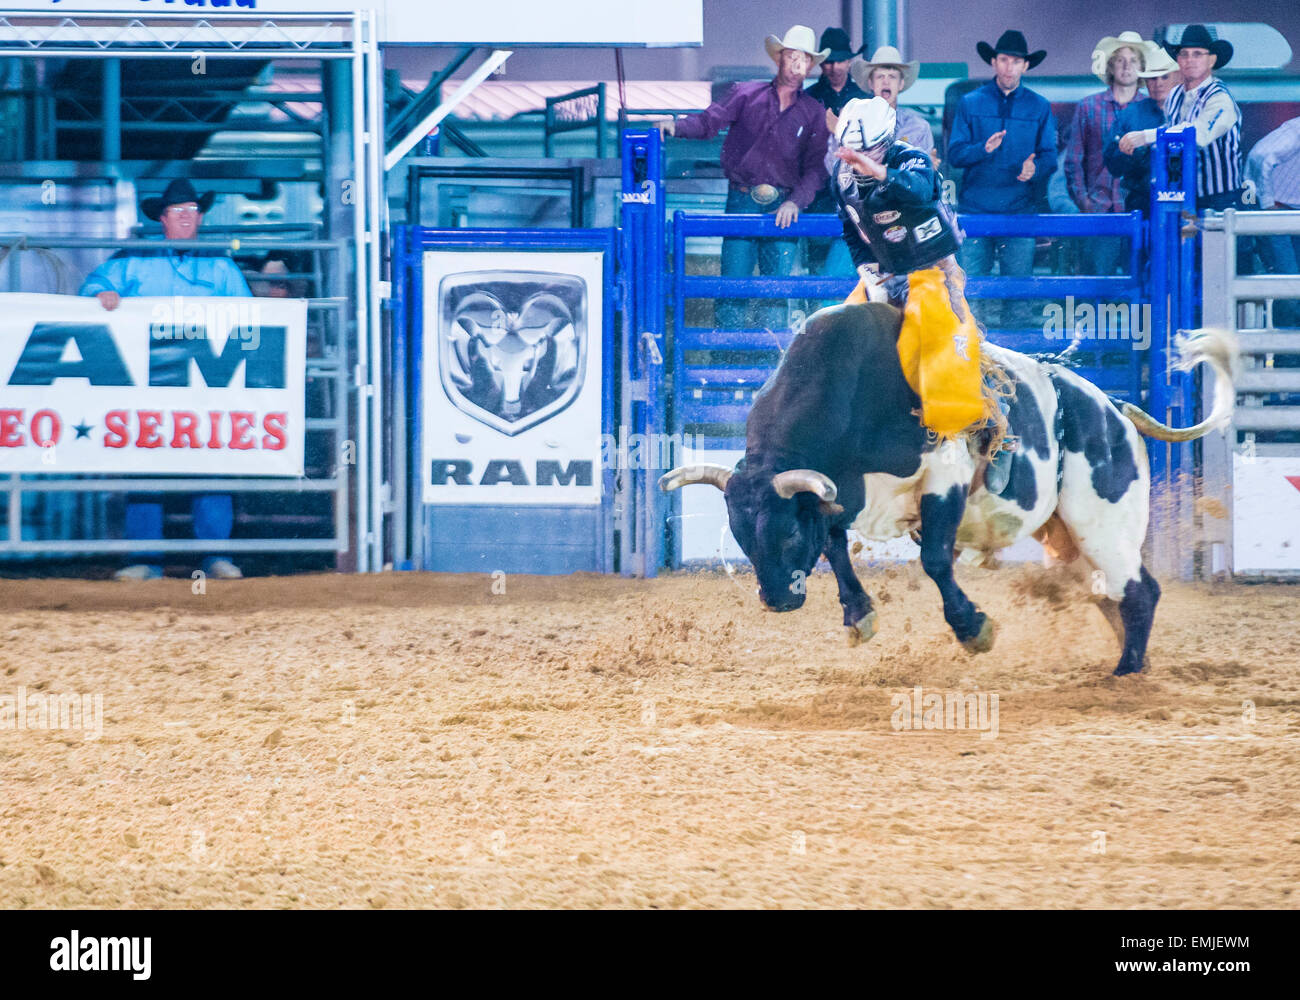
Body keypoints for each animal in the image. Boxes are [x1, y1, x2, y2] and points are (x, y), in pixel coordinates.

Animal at [659, 302, 1237, 676]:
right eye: (742, 537)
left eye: (785, 535)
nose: (778, 599)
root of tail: (1114, 410)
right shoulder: (839, 495)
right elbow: (835, 547)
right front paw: (859, 615)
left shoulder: (945, 476)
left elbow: (935, 559)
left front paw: (972, 627)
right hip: (1067, 541)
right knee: (1109, 594)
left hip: (1106, 523)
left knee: (1140, 590)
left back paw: (1126, 673)